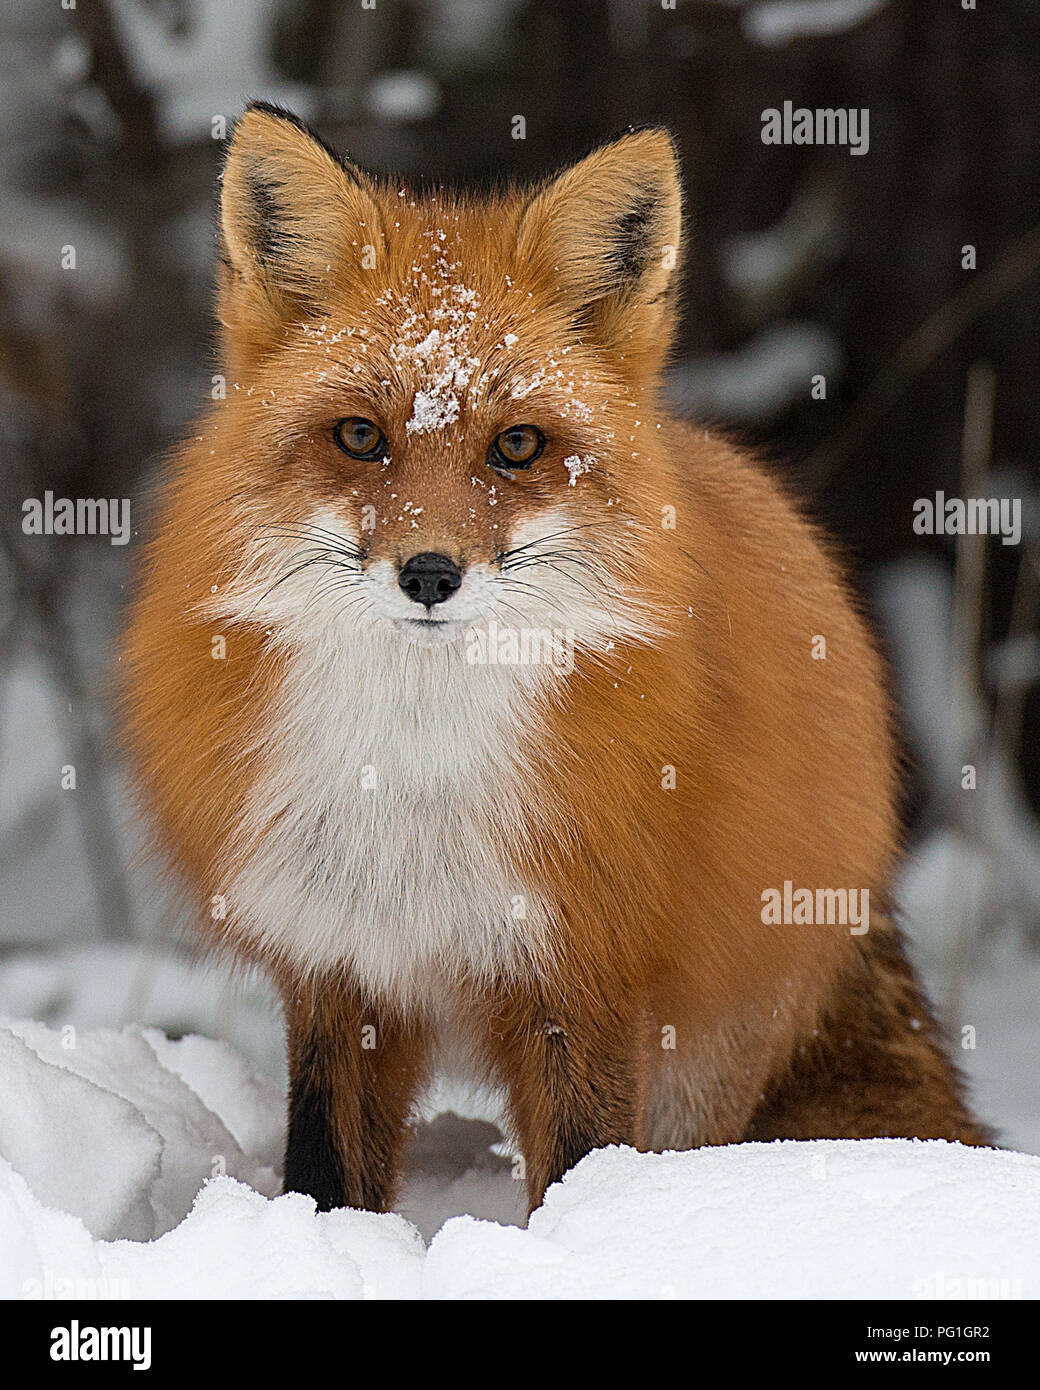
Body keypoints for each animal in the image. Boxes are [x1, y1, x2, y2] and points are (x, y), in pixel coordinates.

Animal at [122, 103, 990, 1216]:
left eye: (519, 446)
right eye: (359, 436)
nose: (430, 574)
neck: (411, 768)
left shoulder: (586, 975)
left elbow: (580, 1170)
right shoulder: (340, 961)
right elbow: (326, 1170)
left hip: (710, 1054)